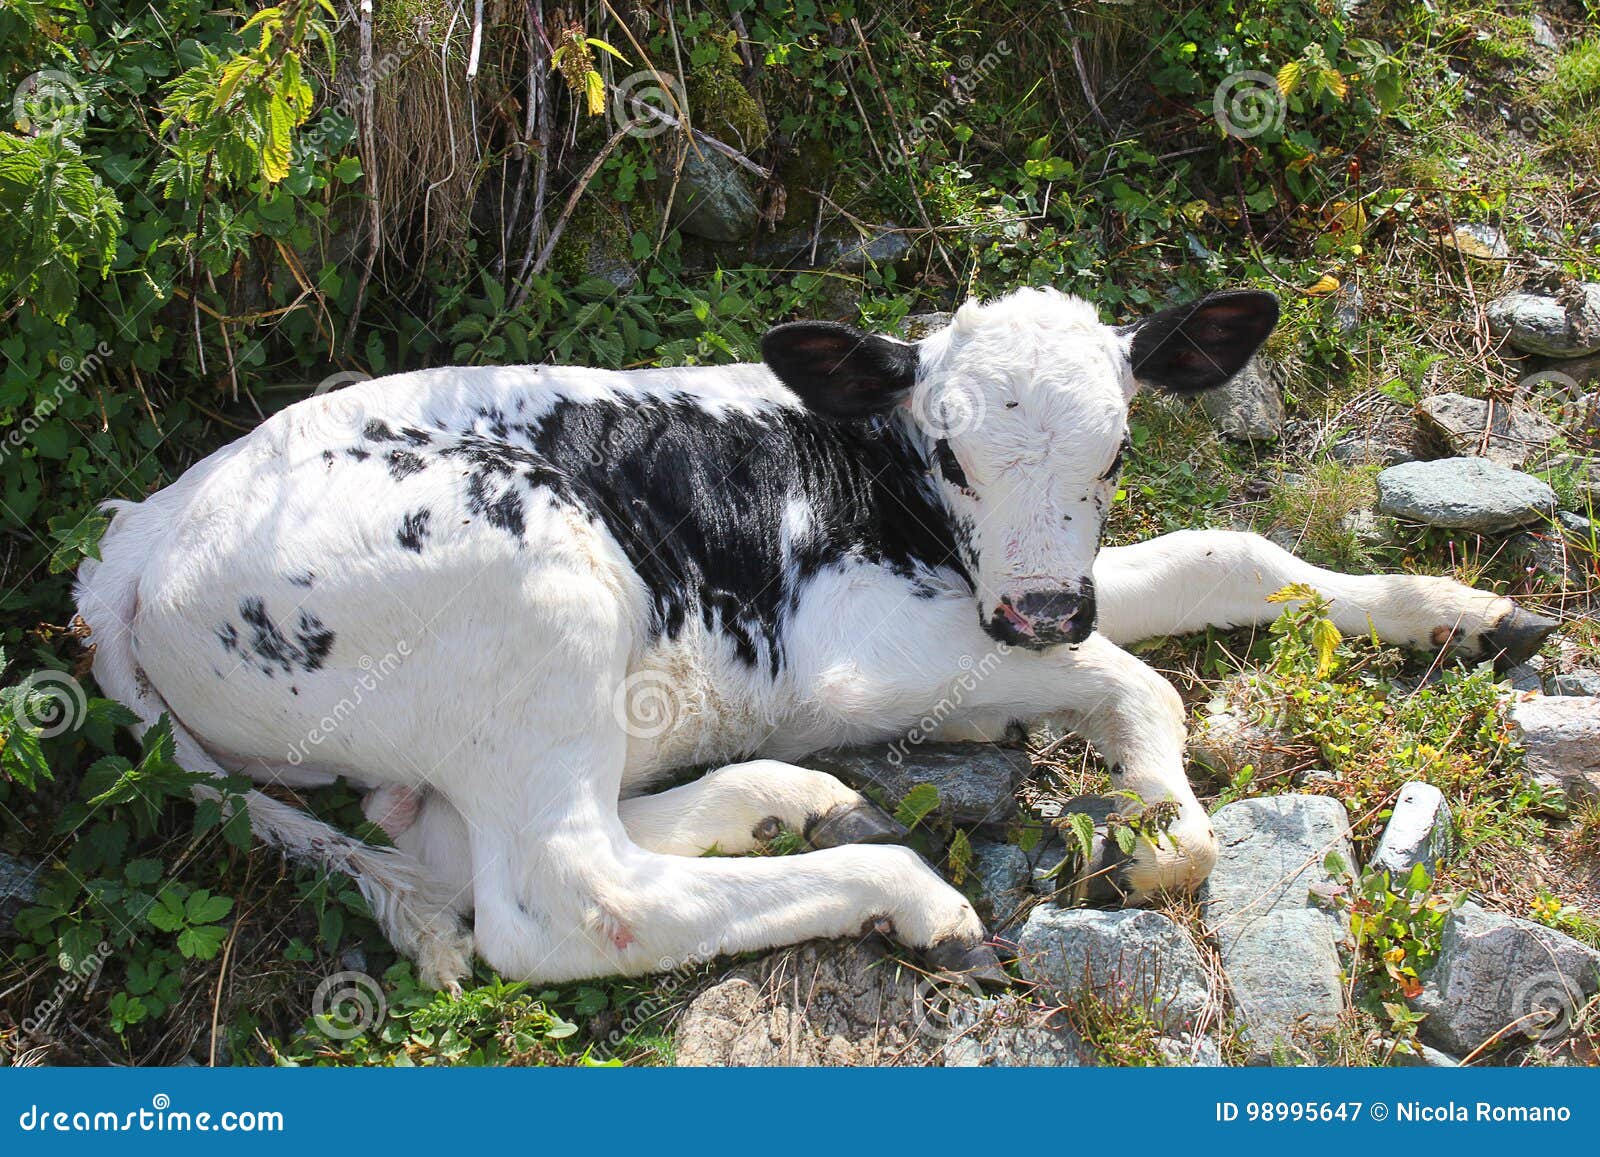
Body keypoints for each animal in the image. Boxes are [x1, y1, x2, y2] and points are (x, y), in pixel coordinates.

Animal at [74, 287, 1557, 990]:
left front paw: (1467, 614)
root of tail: (137, 539)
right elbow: (1132, 679)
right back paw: (906, 893)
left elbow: (1225, 555)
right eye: (952, 449)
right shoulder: (859, 657)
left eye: (1119, 447)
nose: (1036, 608)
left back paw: (787, 803)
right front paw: (1161, 819)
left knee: (469, 845)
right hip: (535, 588)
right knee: (567, 900)